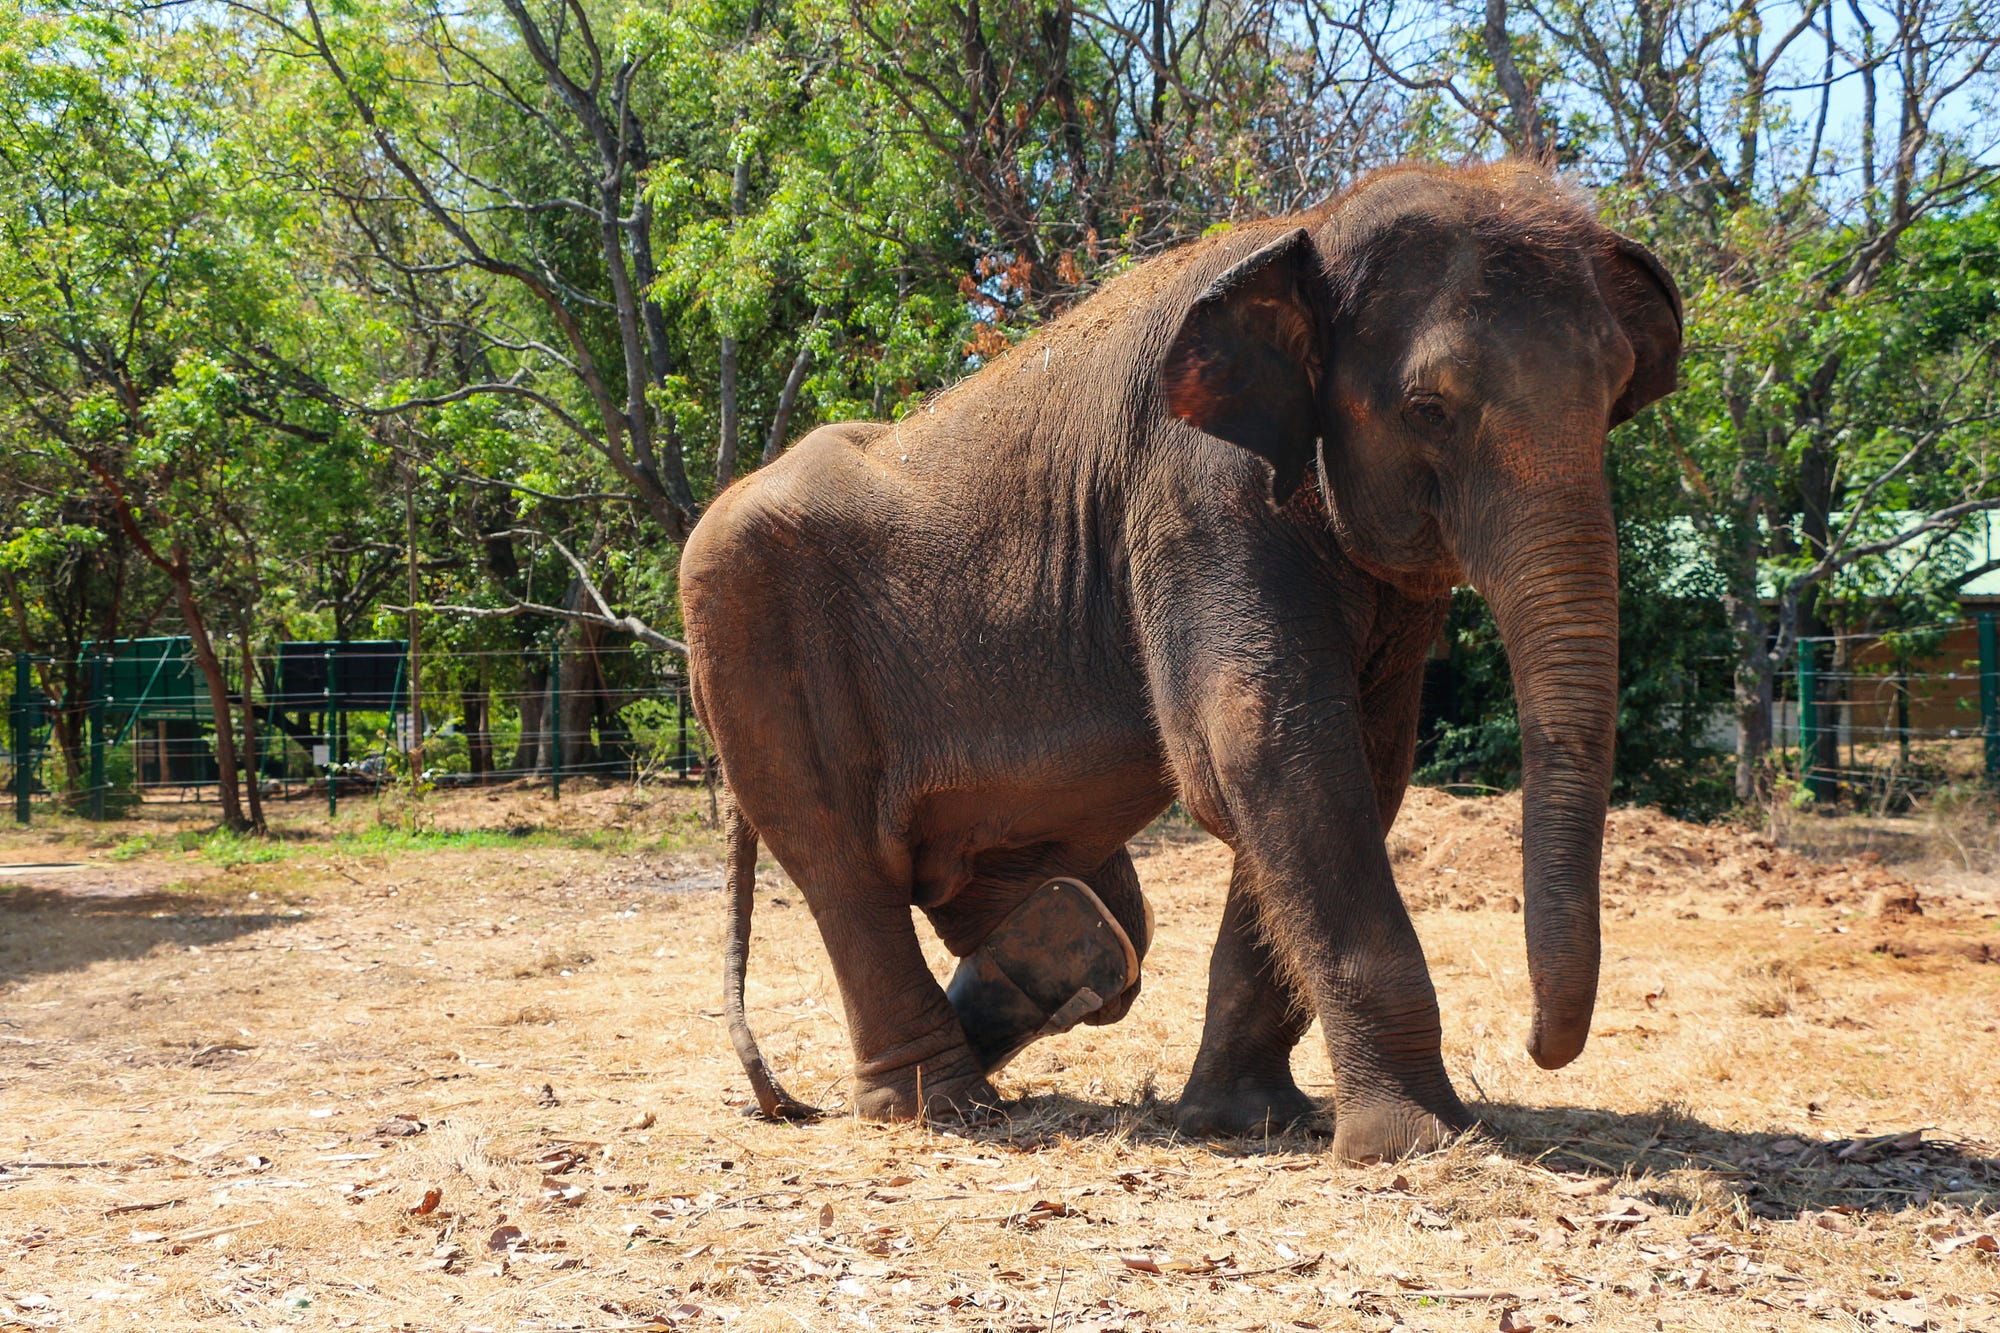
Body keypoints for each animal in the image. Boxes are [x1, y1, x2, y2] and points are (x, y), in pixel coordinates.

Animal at [679, 160, 1683, 1164]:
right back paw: (945, 1107)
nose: (1537, 1042)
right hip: (747, 636)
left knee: (1078, 912)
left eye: (1615, 397)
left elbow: (1360, 762)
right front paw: (1414, 1143)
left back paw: (1070, 953)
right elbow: (1257, 739)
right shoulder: (1194, 493)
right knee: (847, 871)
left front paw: (1248, 1121)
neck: (1312, 228)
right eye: (1428, 410)